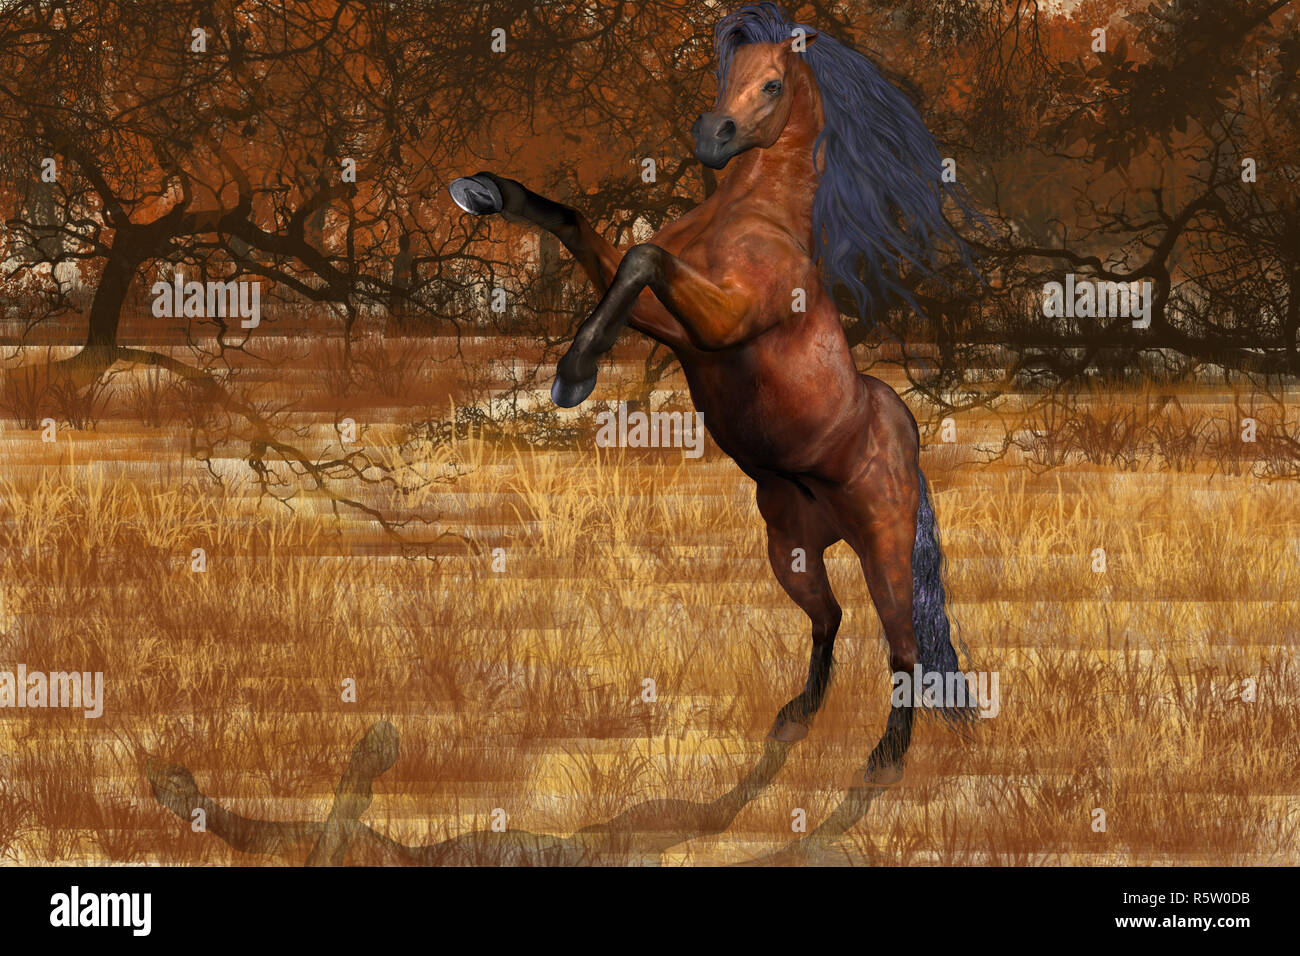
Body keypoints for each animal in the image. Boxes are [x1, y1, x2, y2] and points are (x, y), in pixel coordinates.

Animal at [449, 2, 977, 785]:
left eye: (773, 83)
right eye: (726, 72)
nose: (711, 137)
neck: (756, 215)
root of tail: (905, 436)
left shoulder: (718, 321)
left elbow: (641, 256)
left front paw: (574, 374)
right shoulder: (677, 324)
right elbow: (586, 230)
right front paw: (484, 190)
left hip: (881, 543)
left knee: (904, 646)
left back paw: (883, 763)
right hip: (790, 547)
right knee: (830, 619)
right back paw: (793, 722)